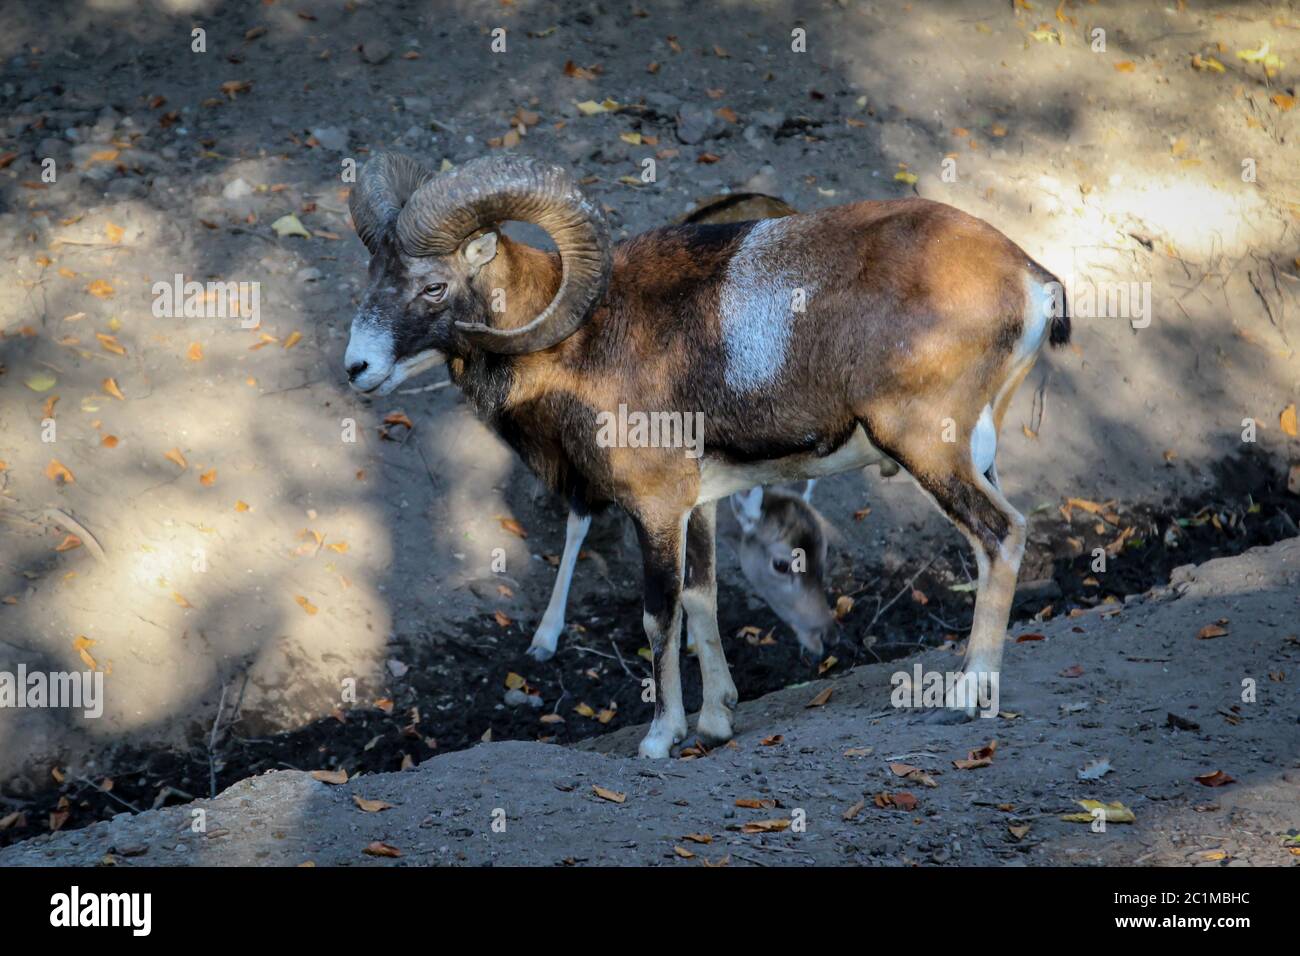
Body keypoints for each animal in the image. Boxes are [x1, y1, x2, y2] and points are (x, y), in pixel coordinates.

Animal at [344, 152, 1070, 757]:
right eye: (372, 274)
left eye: (433, 286)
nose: (357, 368)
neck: (581, 341)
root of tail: (1032, 282)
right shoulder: (699, 505)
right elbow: (703, 598)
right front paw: (716, 722)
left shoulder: (656, 508)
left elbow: (659, 613)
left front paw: (661, 738)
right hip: (977, 451)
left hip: (929, 450)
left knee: (1001, 535)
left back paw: (965, 698)